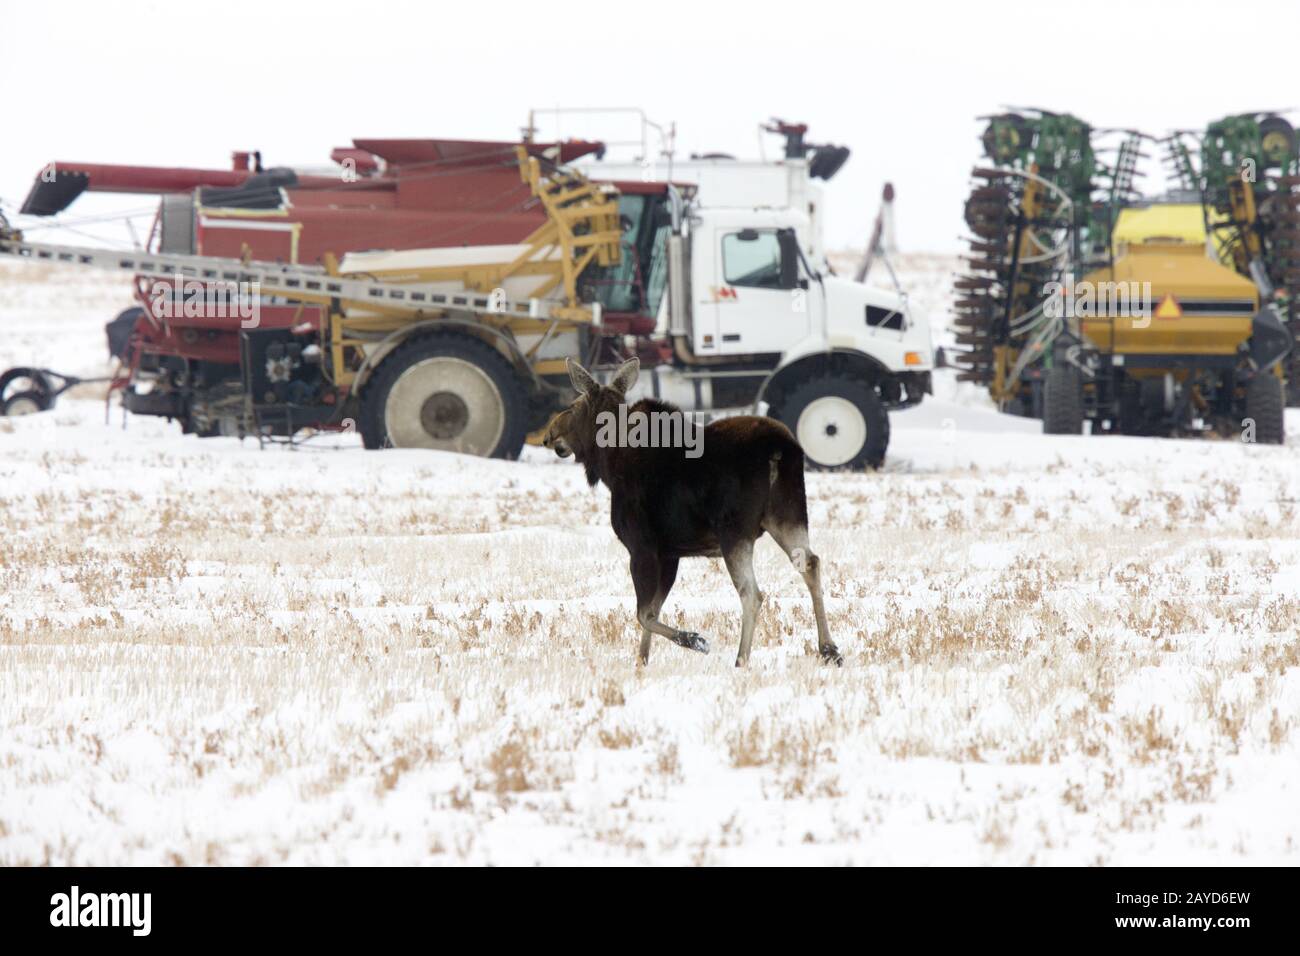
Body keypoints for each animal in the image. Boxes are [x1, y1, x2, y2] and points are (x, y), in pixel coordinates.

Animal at [542, 356, 842, 668]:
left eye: (573, 405)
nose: (549, 435)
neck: (608, 465)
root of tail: (779, 450)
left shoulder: (642, 547)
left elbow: (643, 614)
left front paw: (693, 640)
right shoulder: (670, 552)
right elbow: (652, 611)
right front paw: (642, 661)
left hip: (734, 531)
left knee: (752, 593)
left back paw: (741, 659)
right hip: (788, 516)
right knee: (810, 564)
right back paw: (829, 648)